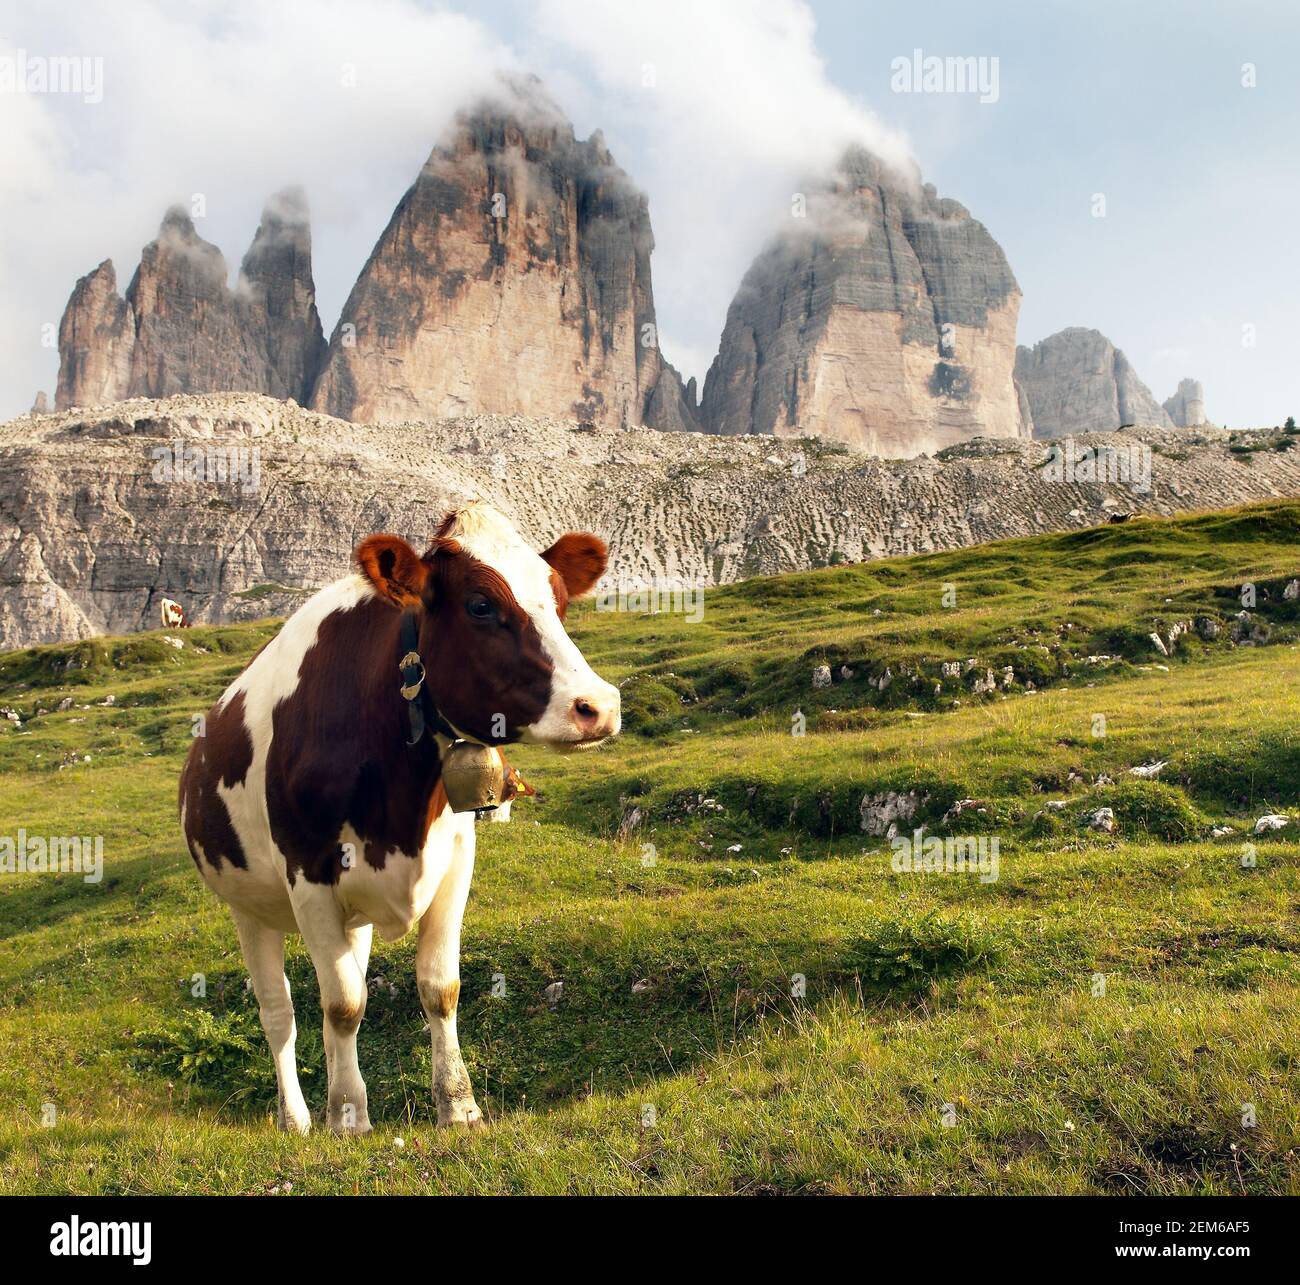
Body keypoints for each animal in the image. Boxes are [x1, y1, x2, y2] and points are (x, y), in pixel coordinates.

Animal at [178, 501, 620, 1133]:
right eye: (480, 606)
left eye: (558, 600)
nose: (598, 706)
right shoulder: (307, 873)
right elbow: (342, 1004)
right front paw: (348, 1117)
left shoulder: (455, 857)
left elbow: (439, 988)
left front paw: (458, 1105)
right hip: (249, 907)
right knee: (279, 1012)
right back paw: (297, 1118)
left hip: (351, 916)